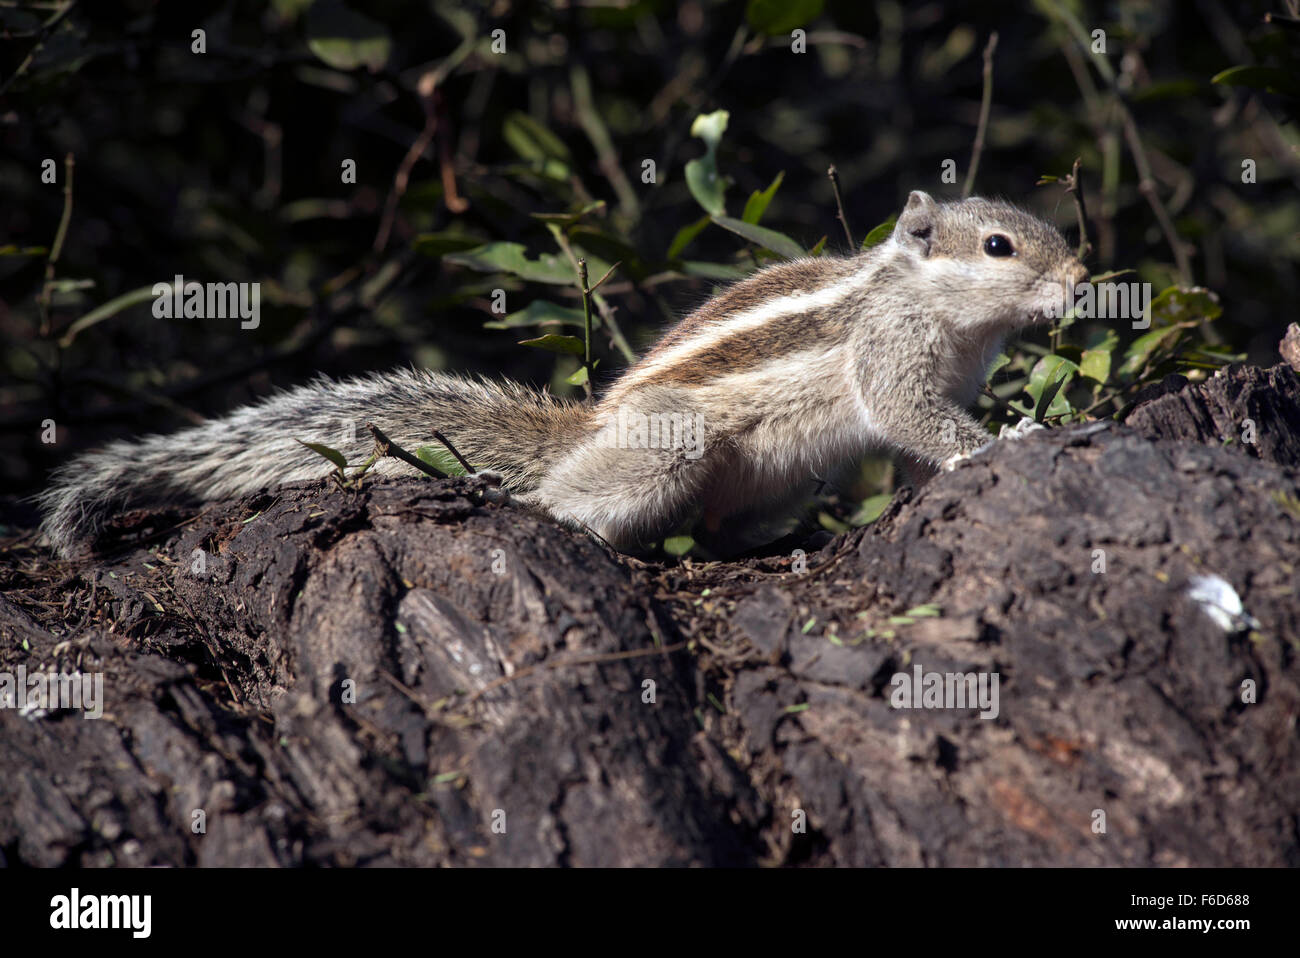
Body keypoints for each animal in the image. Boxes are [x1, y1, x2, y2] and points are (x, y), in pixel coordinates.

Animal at [38, 190, 1088, 557]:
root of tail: (587, 427)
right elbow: (916, 418)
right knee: (562, 498)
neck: (939, 309)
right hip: (671, 446)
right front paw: (1015, 438)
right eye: (998, 246)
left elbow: (919, 443)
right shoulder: (891, 356)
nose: (1083, 280)